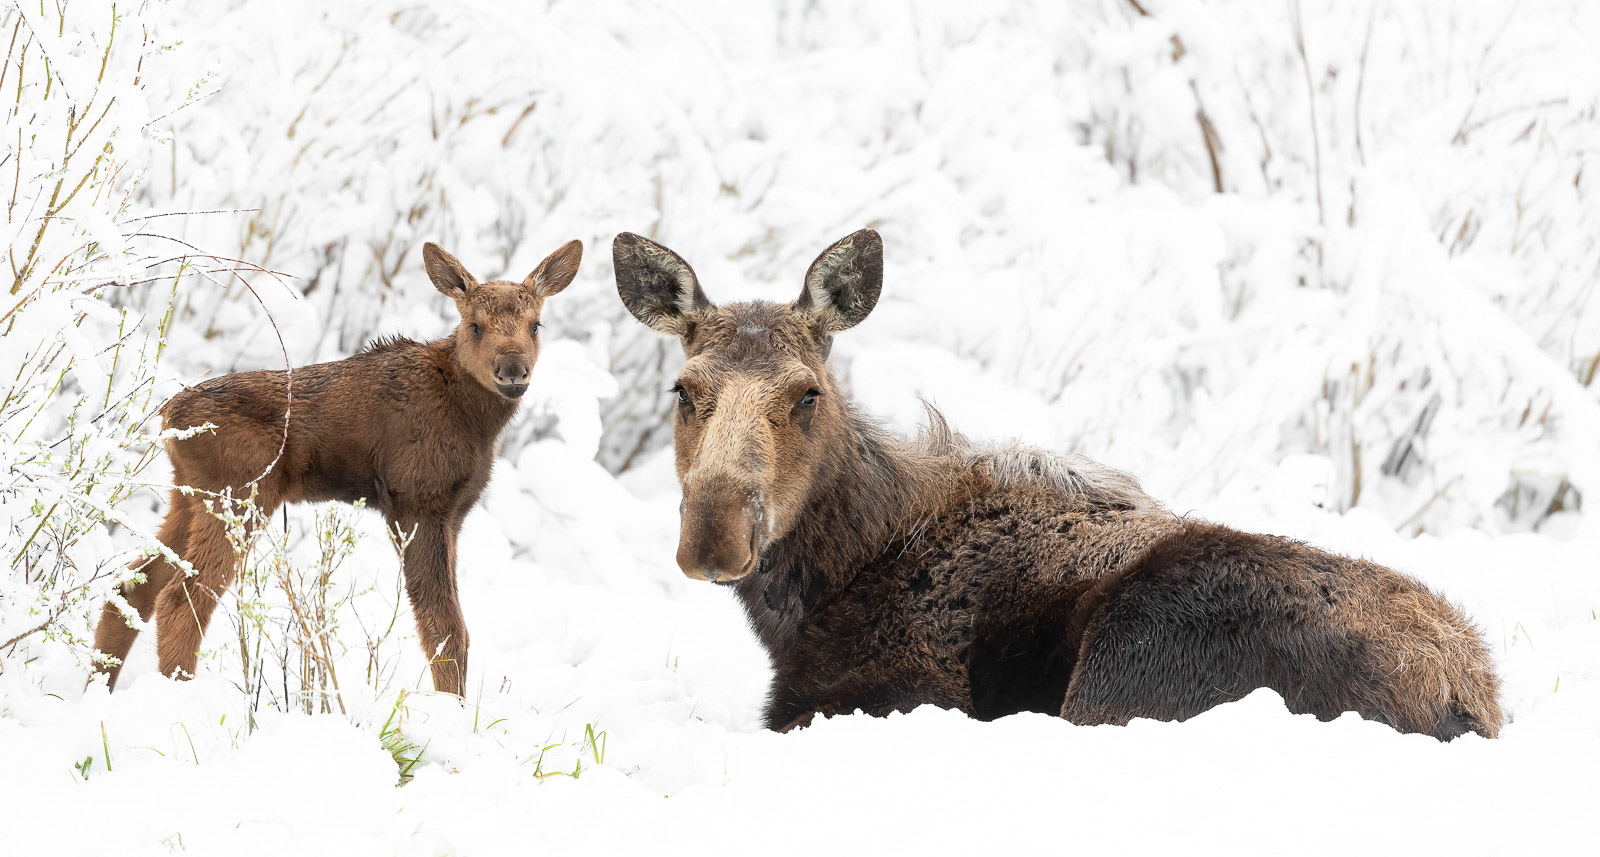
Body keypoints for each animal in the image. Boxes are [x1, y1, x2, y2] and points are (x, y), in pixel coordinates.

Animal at [92, 239, 583, 696]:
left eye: (535, 324)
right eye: (475, 326)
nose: (513, 370)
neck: (473, 421)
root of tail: (168, 417)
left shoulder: (454, 515)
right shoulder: (417, 501)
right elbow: (446, 632)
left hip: (189, 496)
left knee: (133, 586)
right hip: (240, 494)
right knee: (180, 599)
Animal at [612, 228, 1503, 740]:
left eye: (807, 393)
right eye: (684, 389)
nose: (714, 533)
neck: (814, 589)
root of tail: (1471, 699)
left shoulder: (880, 694)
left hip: (1127, 662)